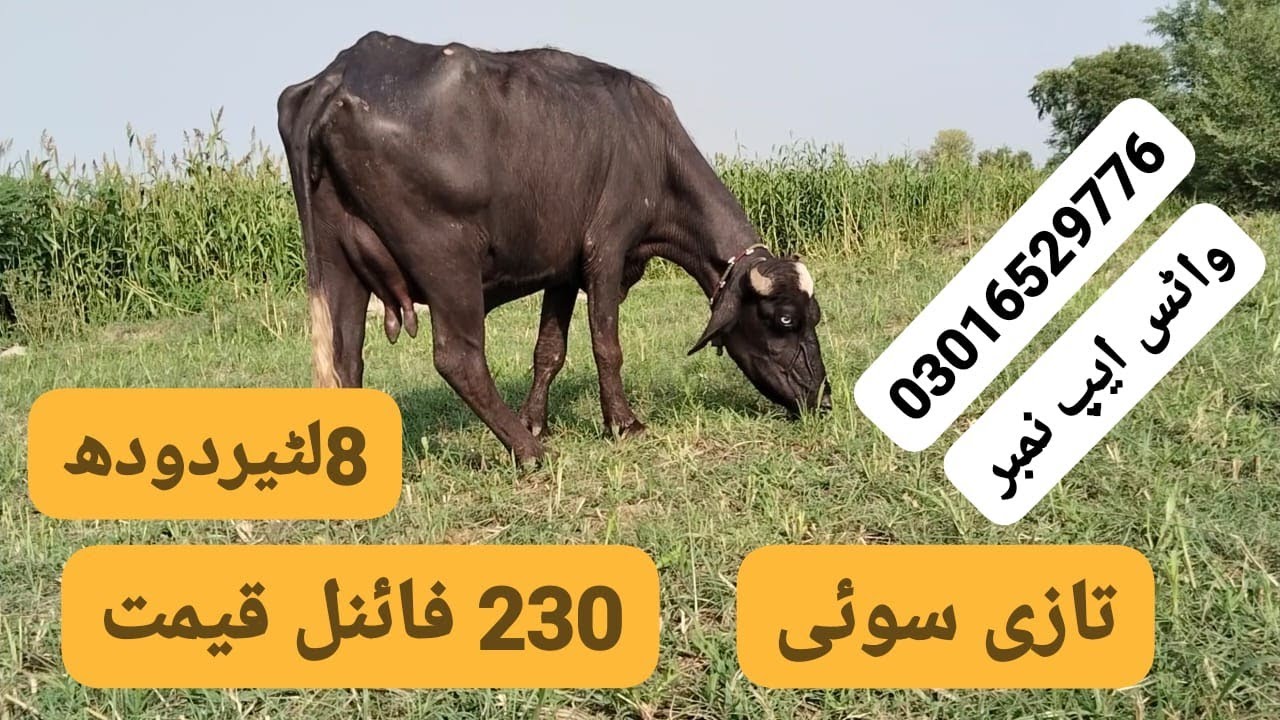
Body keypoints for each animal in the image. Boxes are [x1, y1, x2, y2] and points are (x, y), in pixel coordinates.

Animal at [278, 32, 830, 466]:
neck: (653, 152)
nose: (821, 397)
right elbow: (606, 344)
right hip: (446, 261)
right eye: (784, 319)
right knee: (457, 357)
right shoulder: (607, 250)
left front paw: (535, 419)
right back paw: (527, 452)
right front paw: (622, 424)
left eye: (814, 318)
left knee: (345, 359)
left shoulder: (563, 270)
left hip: (337, 264)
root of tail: (341, 74)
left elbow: (550, 350)